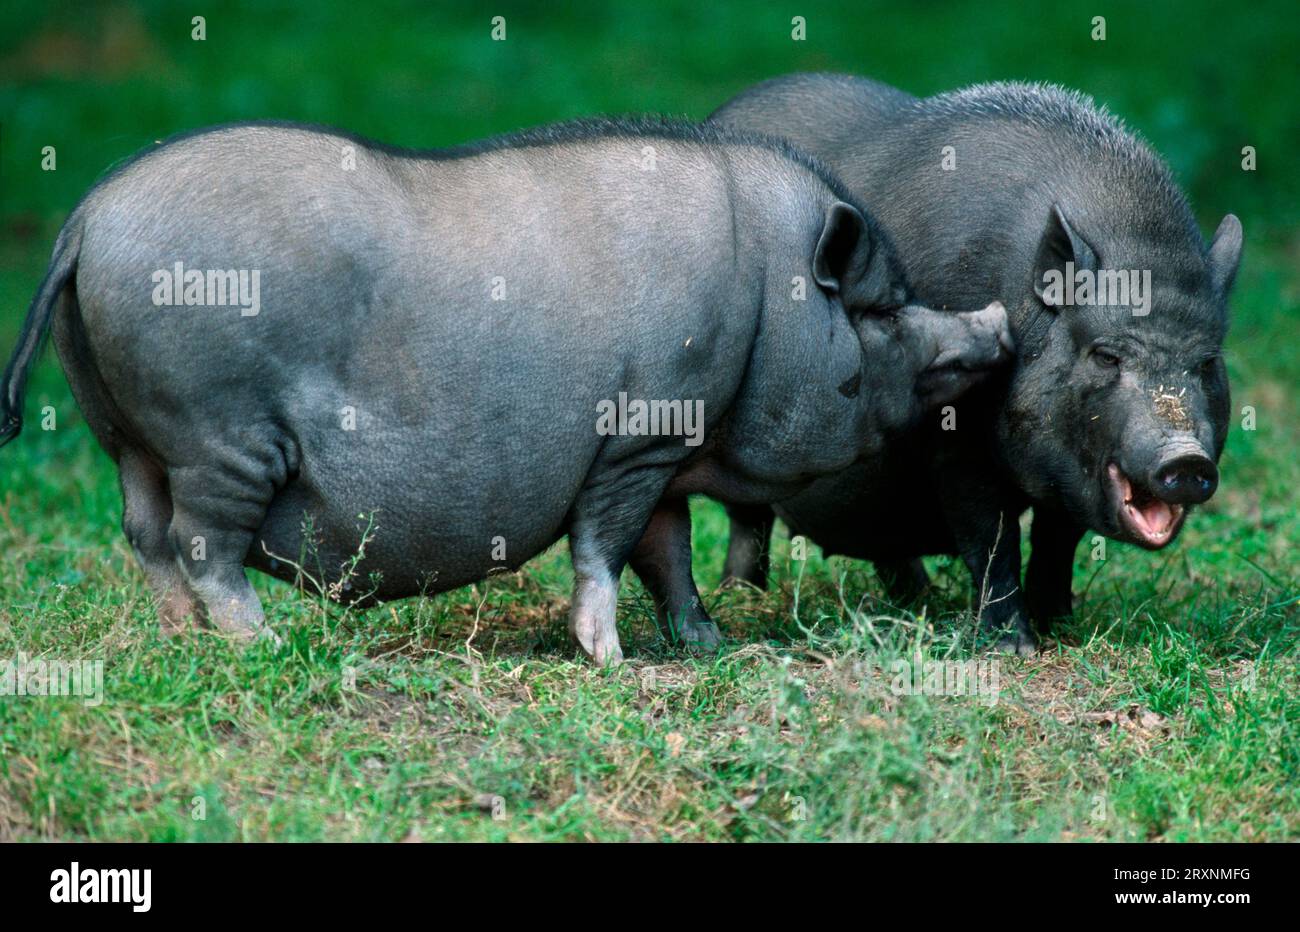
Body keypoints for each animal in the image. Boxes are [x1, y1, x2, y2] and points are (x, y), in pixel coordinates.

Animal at [0, 117, 1012, 665]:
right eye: (884, 310)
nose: (999, 321)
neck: (768, 294)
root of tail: (85, 220)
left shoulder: (660, 449)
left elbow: (669, 554)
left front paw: (707, 643)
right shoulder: (638, 434)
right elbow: (608, 551)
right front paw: (609, 657)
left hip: (125, 435)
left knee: (143, 532)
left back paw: (182, 643)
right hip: (219, 434)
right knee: (200, 543)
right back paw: (264, 645)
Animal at [700, 76, 1243, 654]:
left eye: (1207, 361)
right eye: (1105, 354)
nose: (1186, 458)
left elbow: (1057, 539)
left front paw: (1060, 626)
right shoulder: (955, 442)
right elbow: (991, 535)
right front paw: (1016, 647)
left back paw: (919, 601)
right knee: (747, 521)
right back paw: (741, 599)